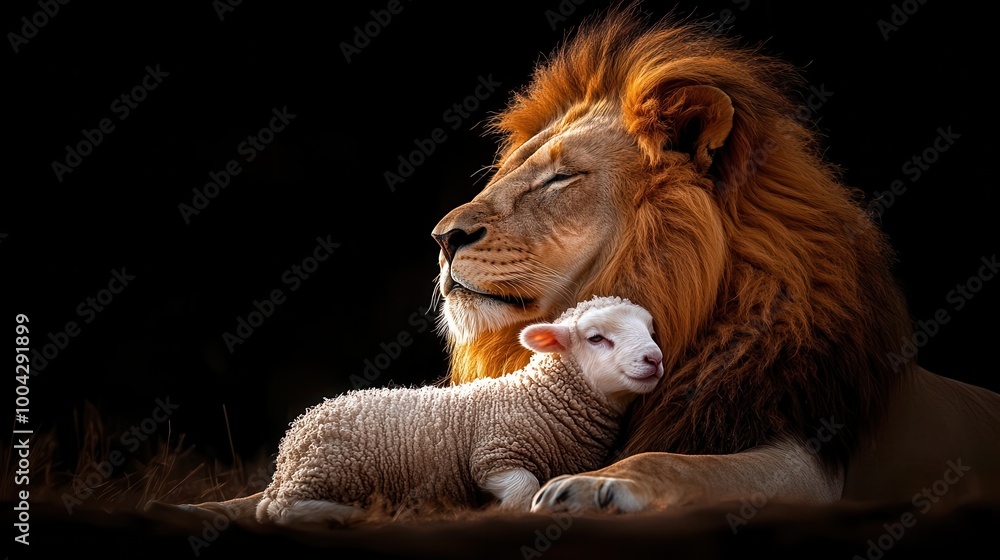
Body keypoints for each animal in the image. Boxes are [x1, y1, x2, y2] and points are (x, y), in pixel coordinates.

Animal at [256, 295, 664, 525]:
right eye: (596, 338)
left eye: (650, 331)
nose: (654, 358)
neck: (539, 399)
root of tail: (291, 443)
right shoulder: (494, 453)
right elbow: (524, 490)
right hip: (331, 467)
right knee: (280, 510)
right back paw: (347, 515)